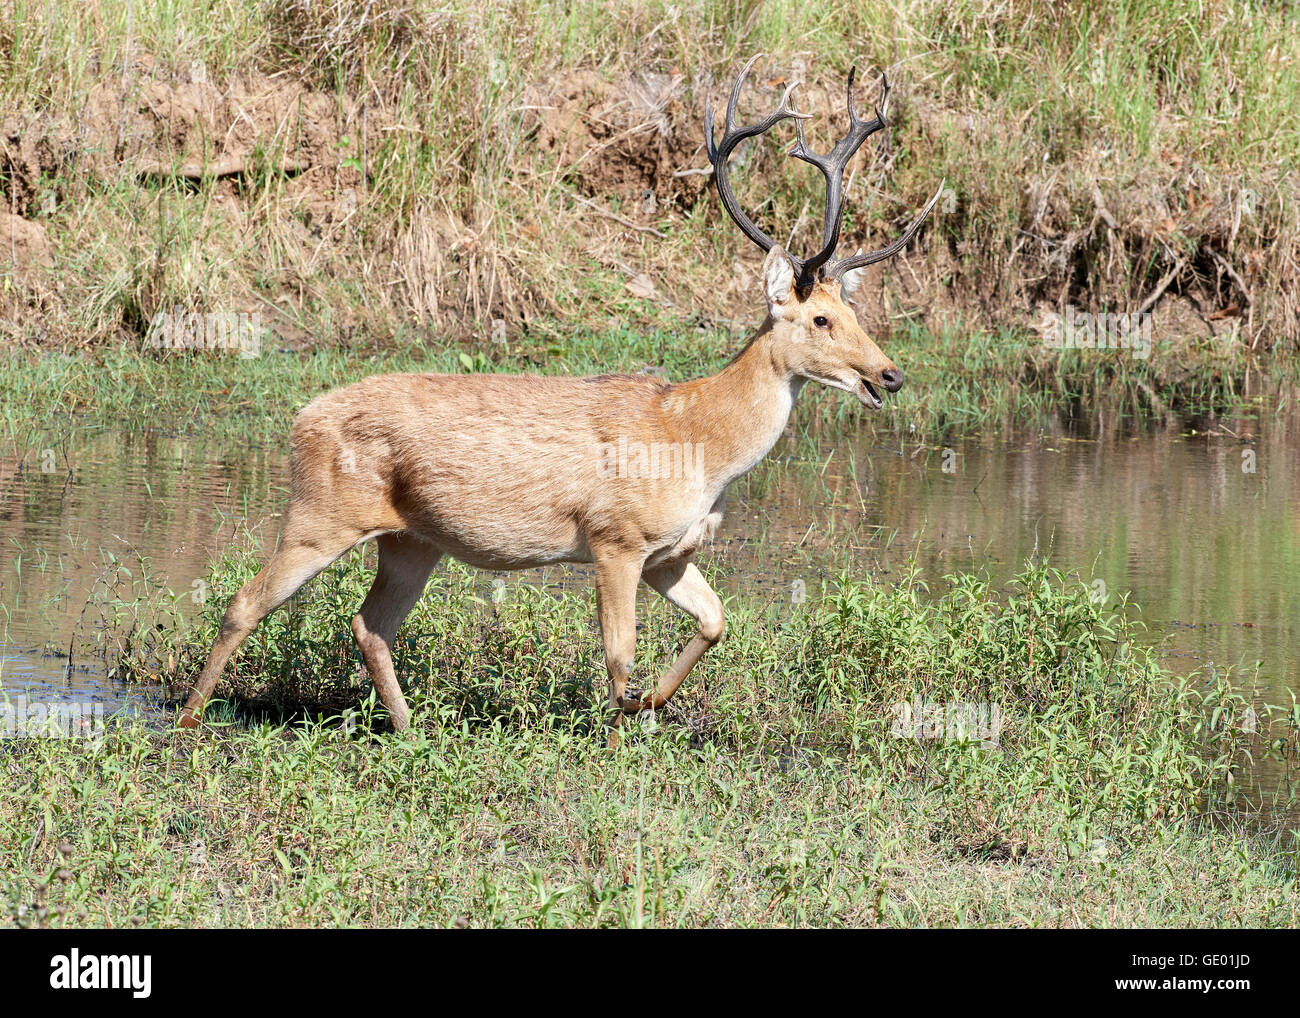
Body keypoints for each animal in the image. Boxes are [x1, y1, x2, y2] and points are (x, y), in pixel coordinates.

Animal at [178, 56, 942, 741]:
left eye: (855, 312)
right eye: (822, 319)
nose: (889, 376)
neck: (698, 441)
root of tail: (301, 418)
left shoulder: (669, 552)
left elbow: (716, 620)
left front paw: (650, 704)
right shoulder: (615, 537)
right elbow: (618, 653)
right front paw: (621, 734)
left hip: (411, 539)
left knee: (369, 625)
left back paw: (410, 729)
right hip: (320, 514)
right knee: (244, 602)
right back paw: (188, 721)